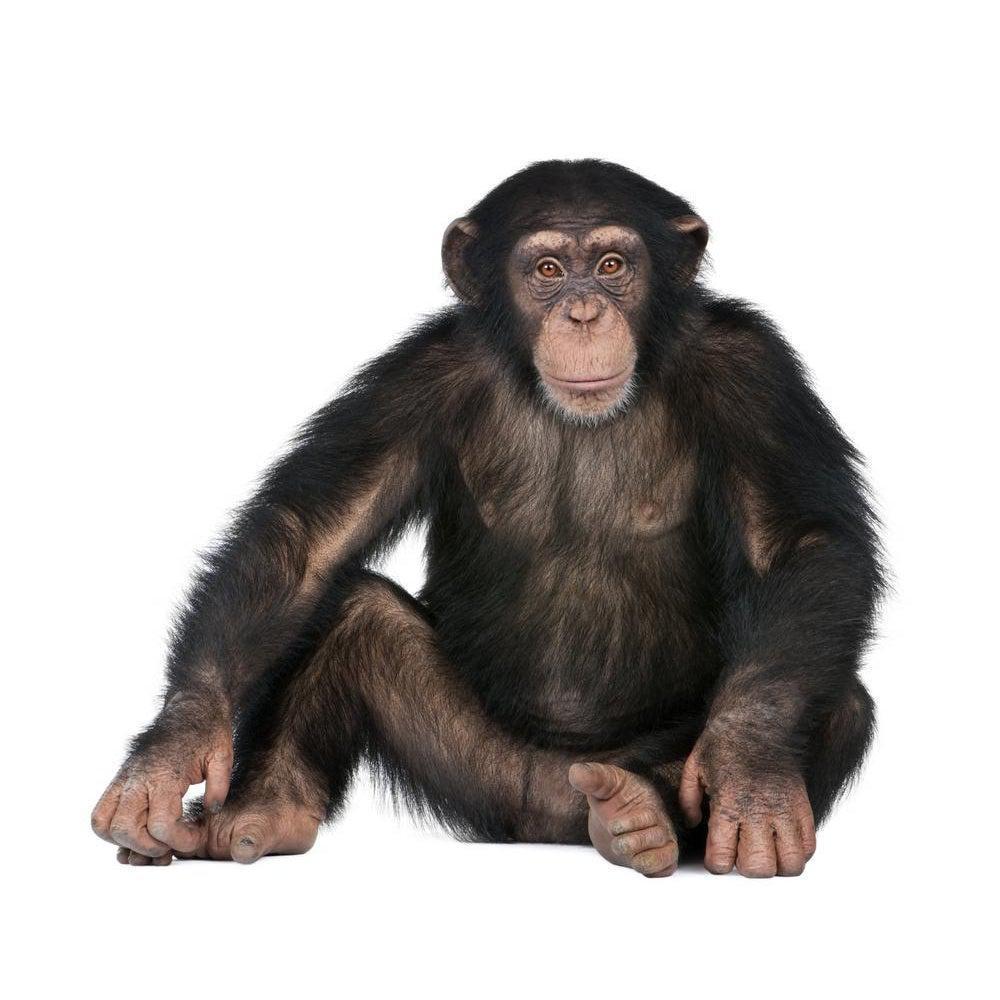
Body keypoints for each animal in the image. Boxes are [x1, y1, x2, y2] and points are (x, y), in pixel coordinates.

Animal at [92, 159, 882, 877]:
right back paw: (267, 809)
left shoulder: (751, 370)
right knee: (352, 613)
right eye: (547, 269)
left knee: (835, 696)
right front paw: (173, 748)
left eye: (613, 264)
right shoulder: (418, 376)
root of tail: (555, 813)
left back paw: (646, 815)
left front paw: (751, 769)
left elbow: (800, 544)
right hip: (480, 774)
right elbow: (309, 535)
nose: (583, 312)